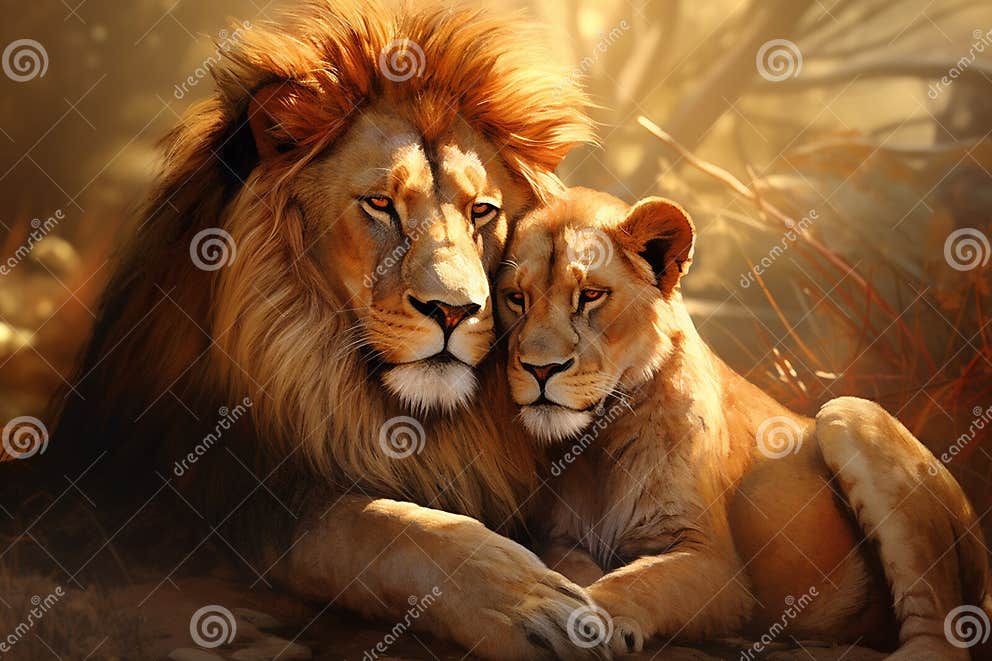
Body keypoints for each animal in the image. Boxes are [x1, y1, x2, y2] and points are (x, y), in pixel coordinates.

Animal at [0, 4, 615, 659]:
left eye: (482, 211)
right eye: (379, 204)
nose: (455, 311)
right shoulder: (223, 500)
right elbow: (379, 526)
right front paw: (532, 605)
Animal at [496, 187, 992, 659]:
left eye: (591, 296)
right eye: (516, 299)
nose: (540, 368)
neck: (598, 442)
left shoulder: (719, 567)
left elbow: (635, 581)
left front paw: (582, 620)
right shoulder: (558, 536)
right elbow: (571, 569)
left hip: (850, 411)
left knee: (943, 634)